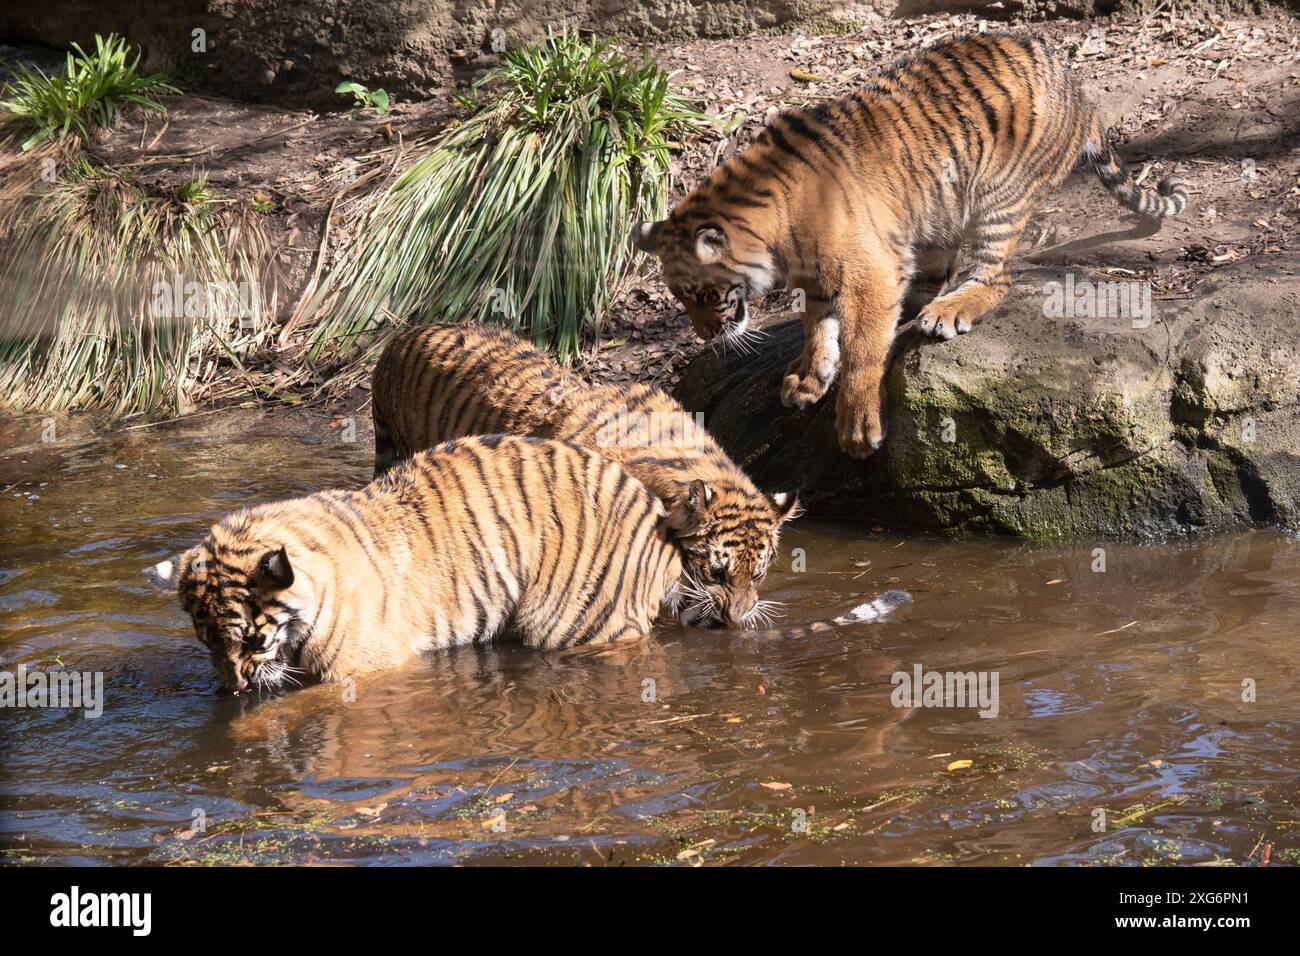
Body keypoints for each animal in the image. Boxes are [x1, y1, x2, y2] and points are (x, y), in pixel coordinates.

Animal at [144, 434, 911, 692]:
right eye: (205, 643)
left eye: (250, 640)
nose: (233, 692)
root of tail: (658, 536)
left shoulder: (364, 672)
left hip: (566, 622)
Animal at [629, 32, 1188, 459]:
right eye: (680, 299)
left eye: (703, 294)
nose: (705, 338)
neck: (776, 232)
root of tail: (1080, 91)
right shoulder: (823, 275)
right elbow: (817, 326)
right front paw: (808, 379)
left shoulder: (868, 270)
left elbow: (861, 347)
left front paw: (856, 427)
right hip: (941, 214)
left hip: (996, 198)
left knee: (995, 276)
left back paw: (947, 312)